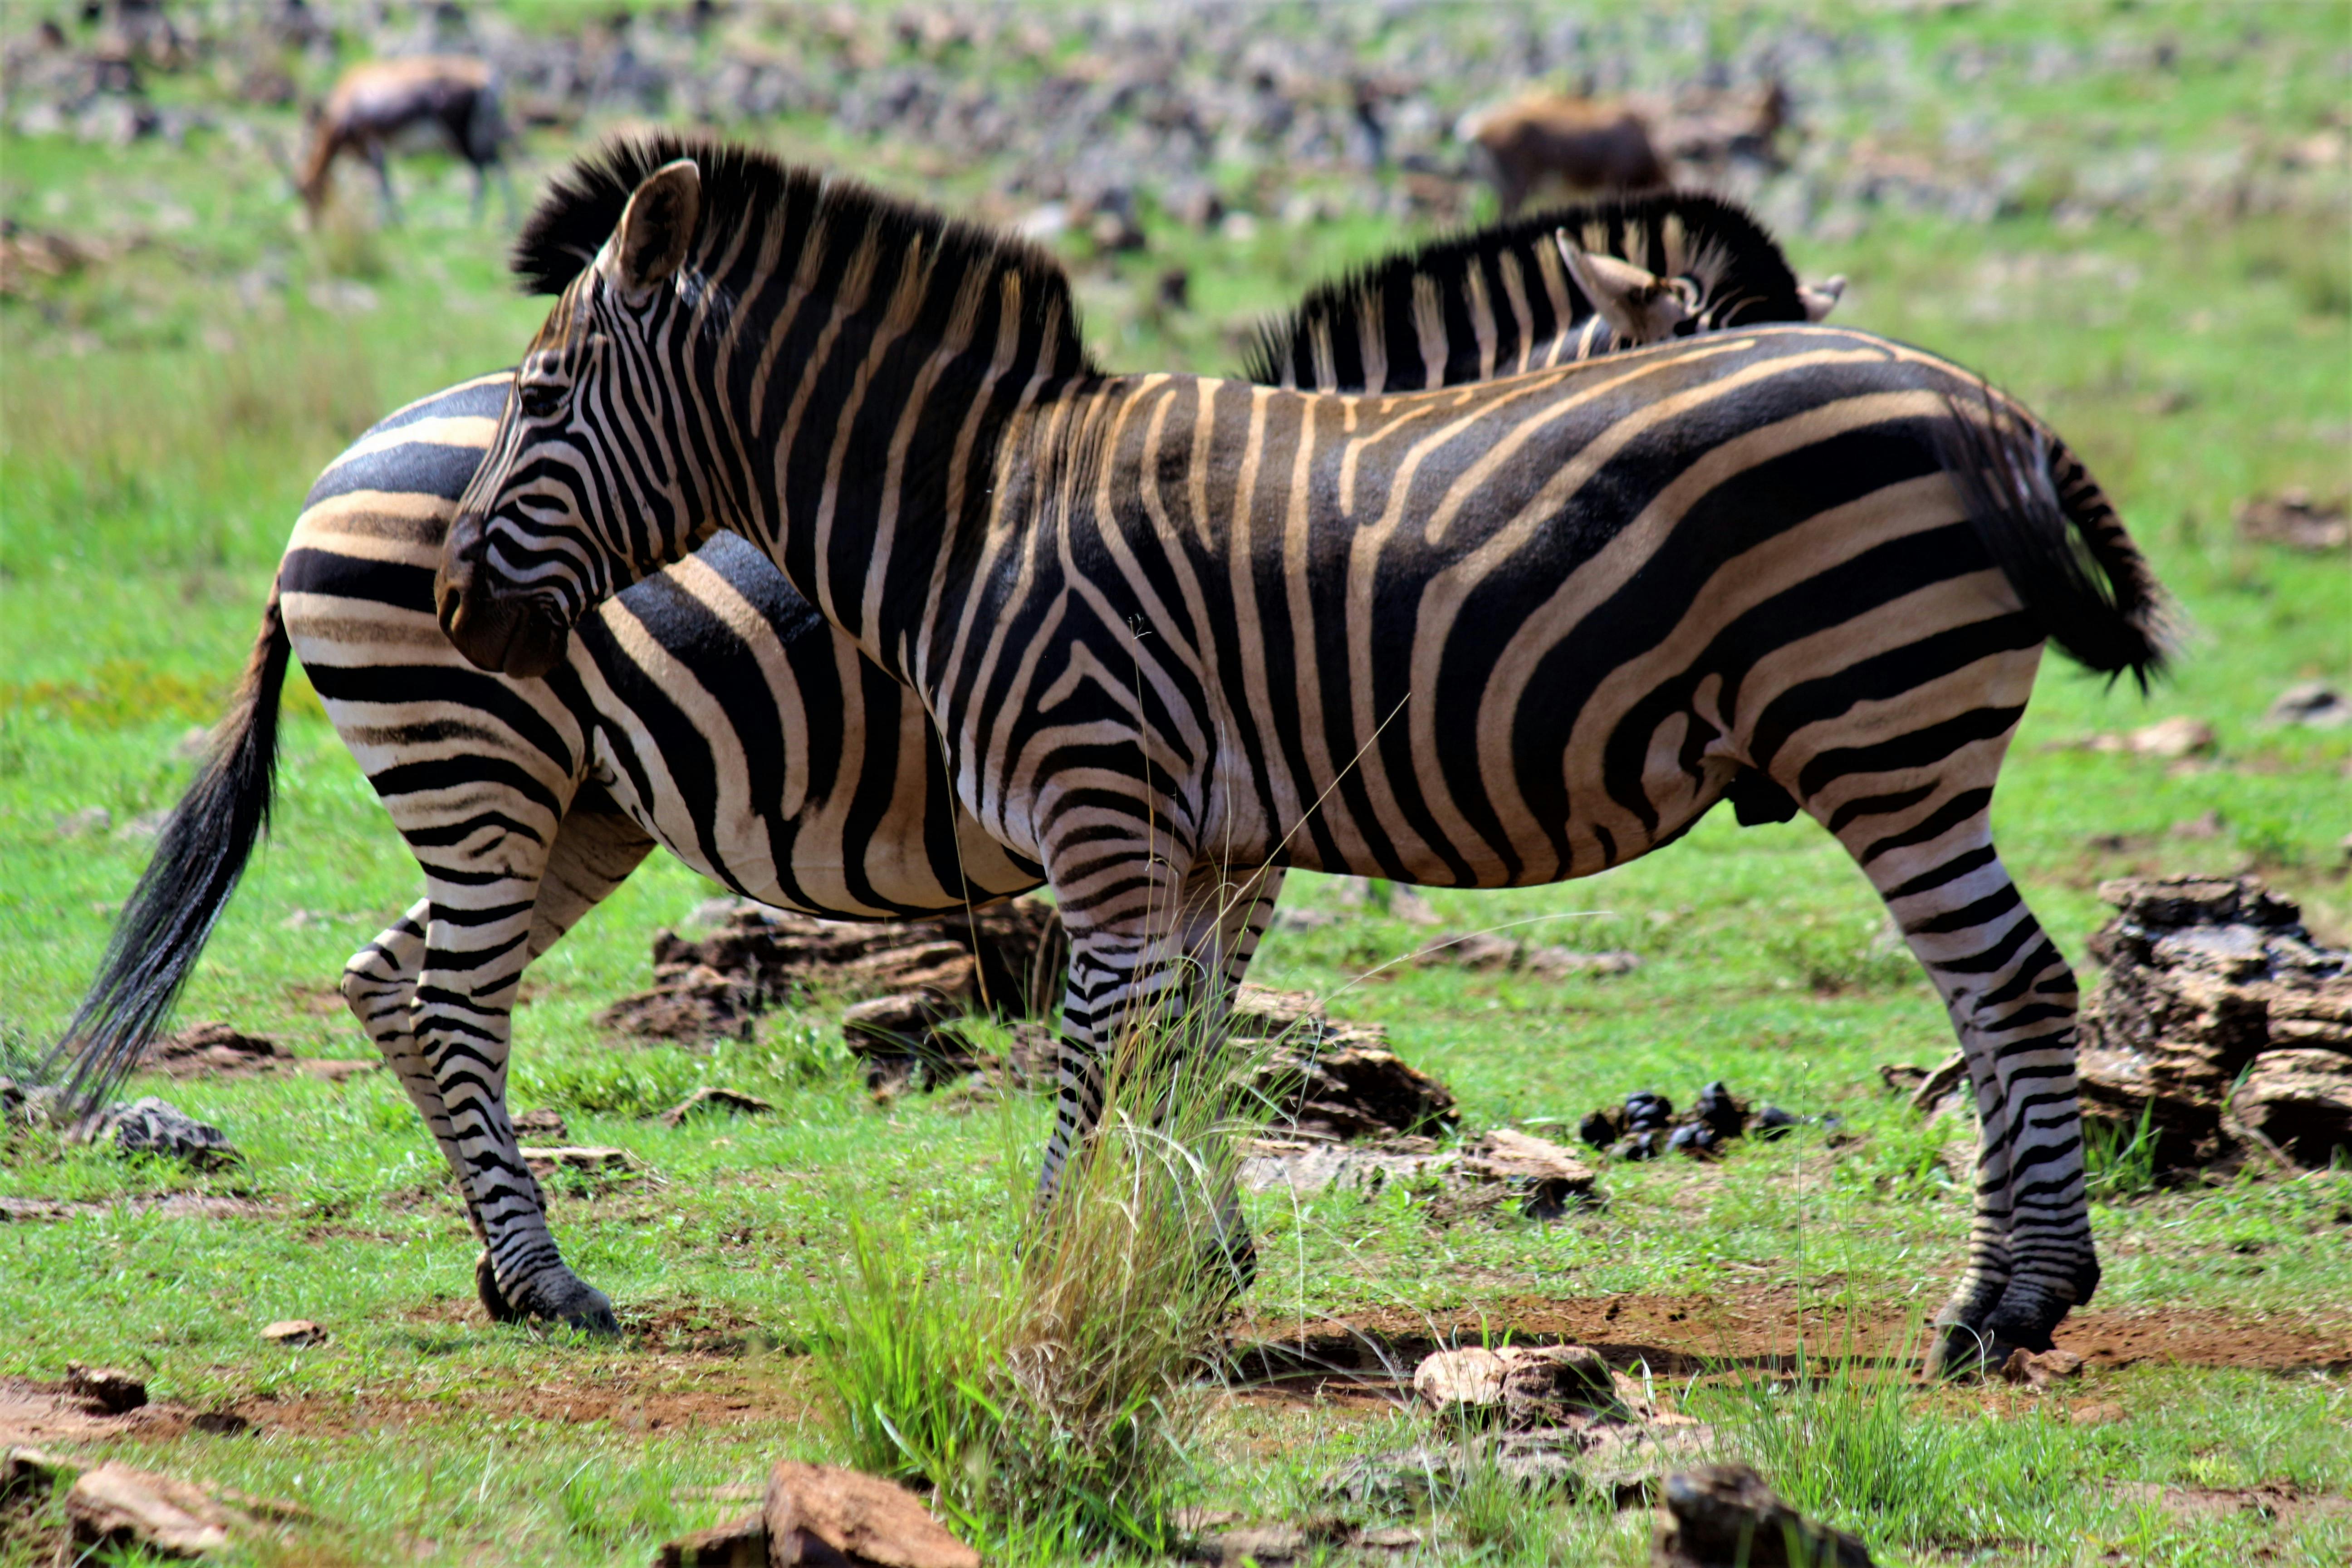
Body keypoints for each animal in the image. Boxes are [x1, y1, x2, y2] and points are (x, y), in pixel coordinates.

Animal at [52, 191, 1824, 1332]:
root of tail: (330, 469)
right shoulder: (1220, 821)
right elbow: (1171, 1037)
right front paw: (1171, 1250)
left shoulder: (1221, 835)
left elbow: (1190, 1035)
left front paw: (1197, 1247)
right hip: (476, 762)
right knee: (452, 993)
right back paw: (548, 1278)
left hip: (575, 811)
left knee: (388, 977)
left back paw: (503, 1263)